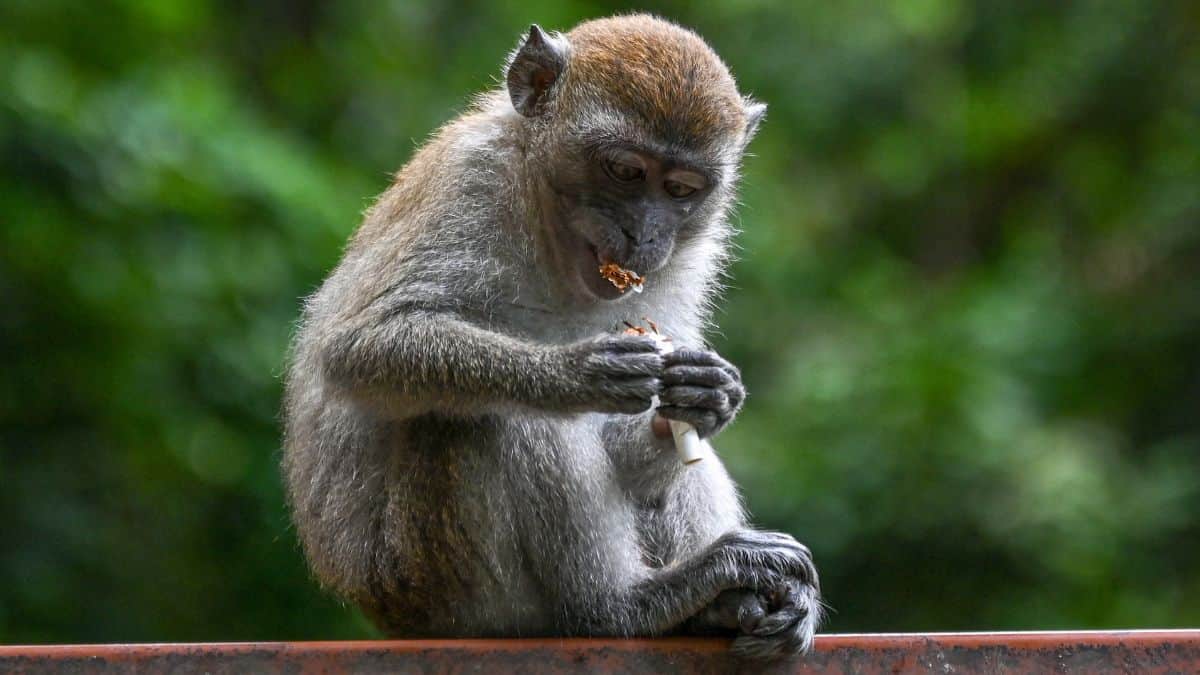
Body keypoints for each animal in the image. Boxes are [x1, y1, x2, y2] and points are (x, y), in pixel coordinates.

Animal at [282, 14, 821, 657]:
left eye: (682, 189)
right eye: (625, 171)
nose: (644, 235)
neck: (551, 229)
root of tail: (386, 615)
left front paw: (706, 396)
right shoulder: (471, 183)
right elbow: (358, 348)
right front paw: (575, 373)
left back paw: (730, 605)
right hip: (443, 586)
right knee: (494, 417)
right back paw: (621, 606)